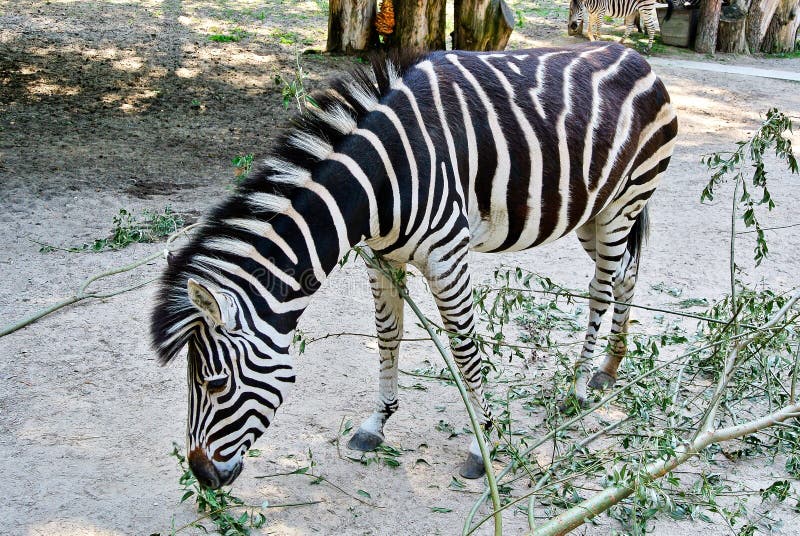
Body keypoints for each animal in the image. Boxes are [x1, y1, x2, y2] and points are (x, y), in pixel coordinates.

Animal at [151, 42, 678, 488]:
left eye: (214, 383)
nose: (202, 476)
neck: (379, 181)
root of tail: (634, 54)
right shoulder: (381, 258)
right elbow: (387, 335)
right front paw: (377, 422)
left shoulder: (448, 256)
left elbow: (464, 352)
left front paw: (480, 445)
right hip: (594, 213)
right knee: (626, 274)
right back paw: (609, 368)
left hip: (624, 203)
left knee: (602, 287)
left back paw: (578, 387)